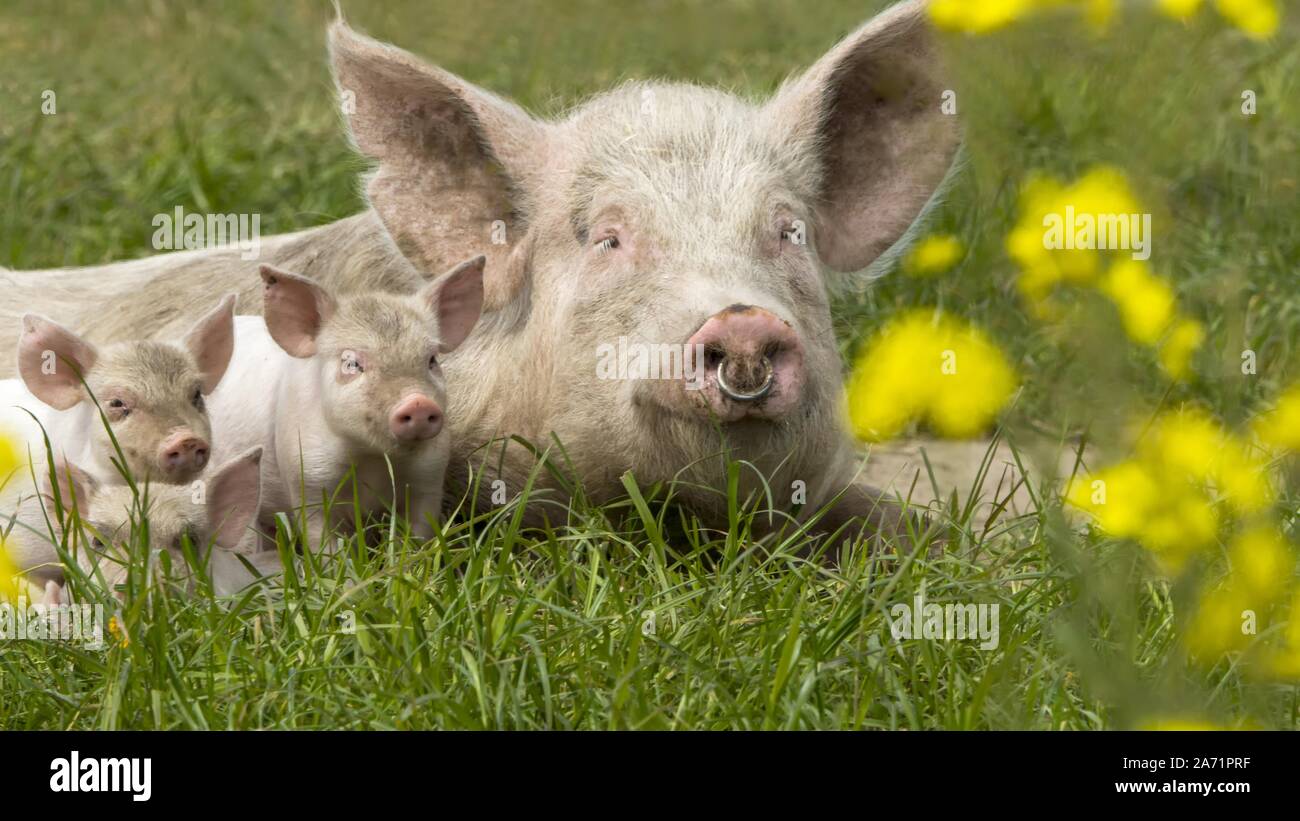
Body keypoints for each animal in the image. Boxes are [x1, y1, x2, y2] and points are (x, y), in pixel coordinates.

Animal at [204, 256, 484, 549]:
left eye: (432, 360)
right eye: (351, 363)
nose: (418, 403)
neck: (373, 458)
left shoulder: (429, 476)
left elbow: (418, 534)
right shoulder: (307, 477)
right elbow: (322, 539)